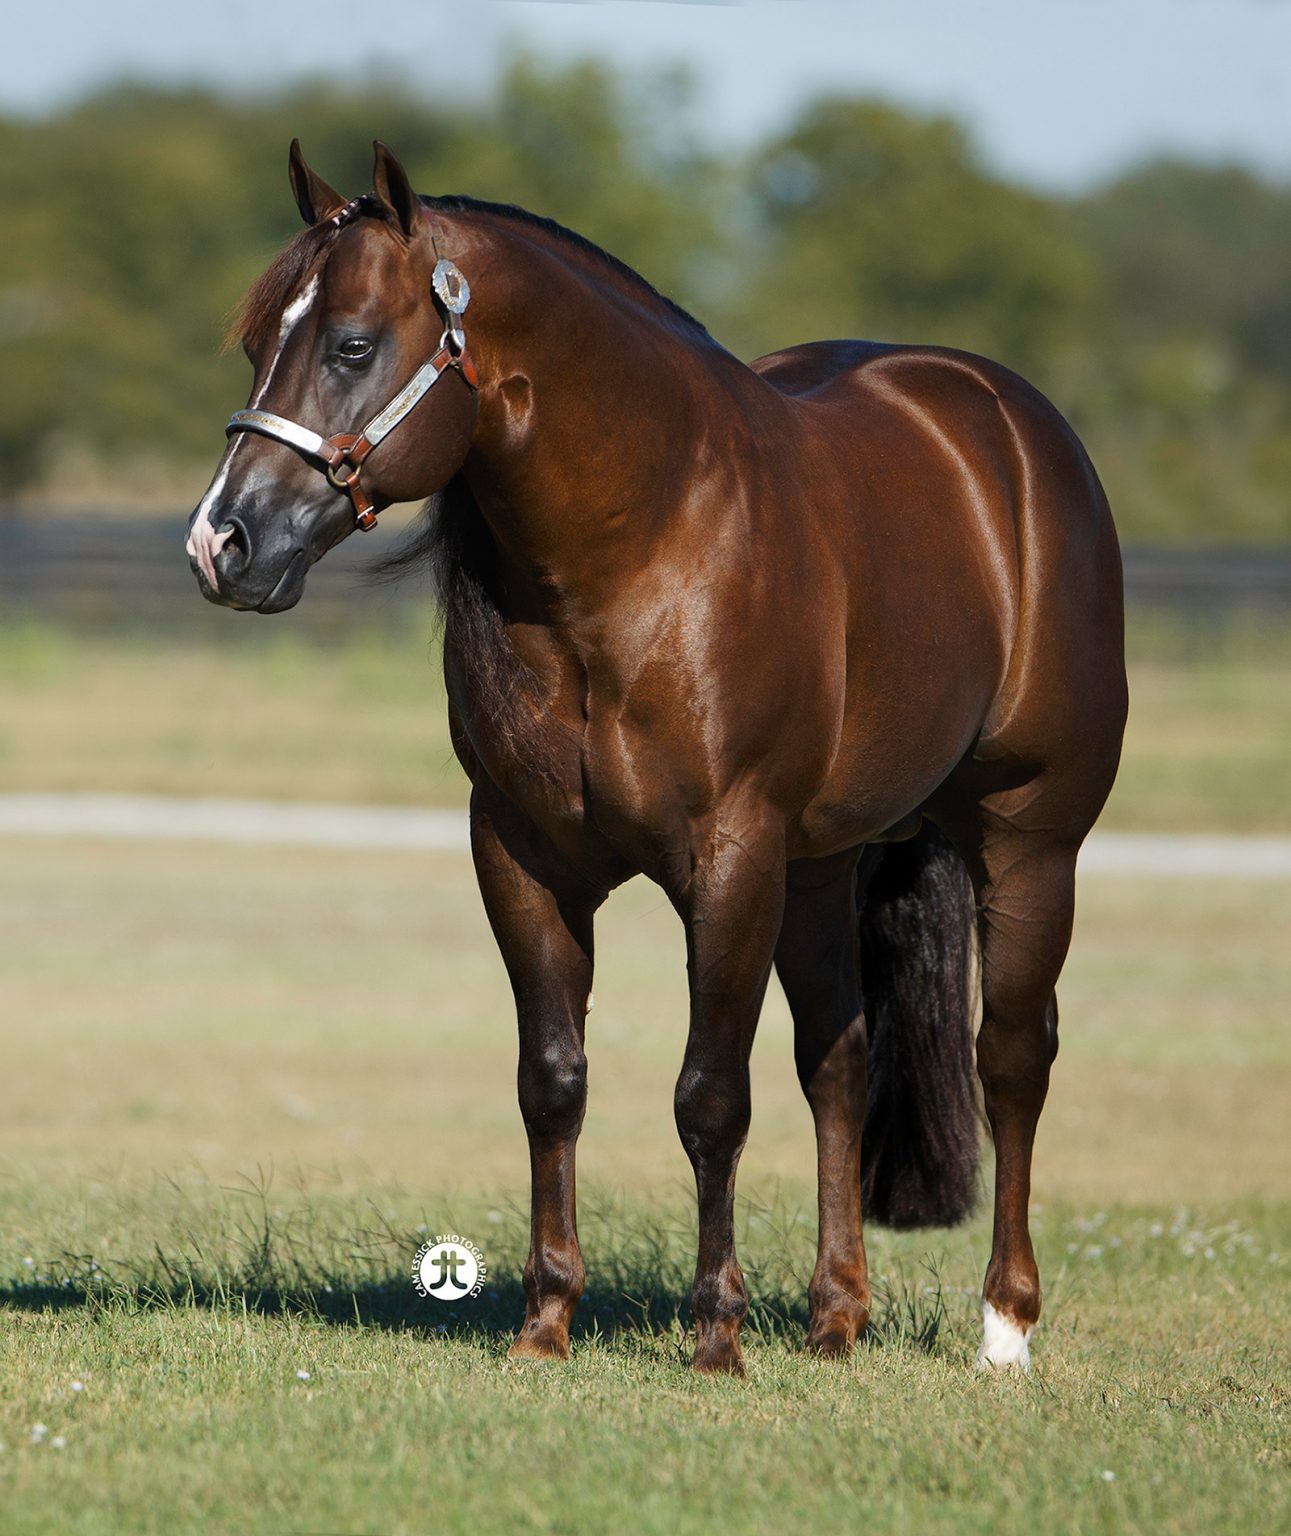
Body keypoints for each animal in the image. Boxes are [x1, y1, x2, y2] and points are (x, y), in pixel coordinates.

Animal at [187, 141, 1127, 1375]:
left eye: (349, 343)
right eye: (258, 344)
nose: (221, 543)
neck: (644, 546)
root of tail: (1010, 427)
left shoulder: (729, 858)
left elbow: (708, 1096)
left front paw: (715, 1335)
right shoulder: (521, 855)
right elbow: (553, 1081)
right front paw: (543, 1324)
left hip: (1027, 839)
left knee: (1011, 1056)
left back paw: (1003, 1329)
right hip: (818, 868)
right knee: (839, 1060)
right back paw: (834, 1316)